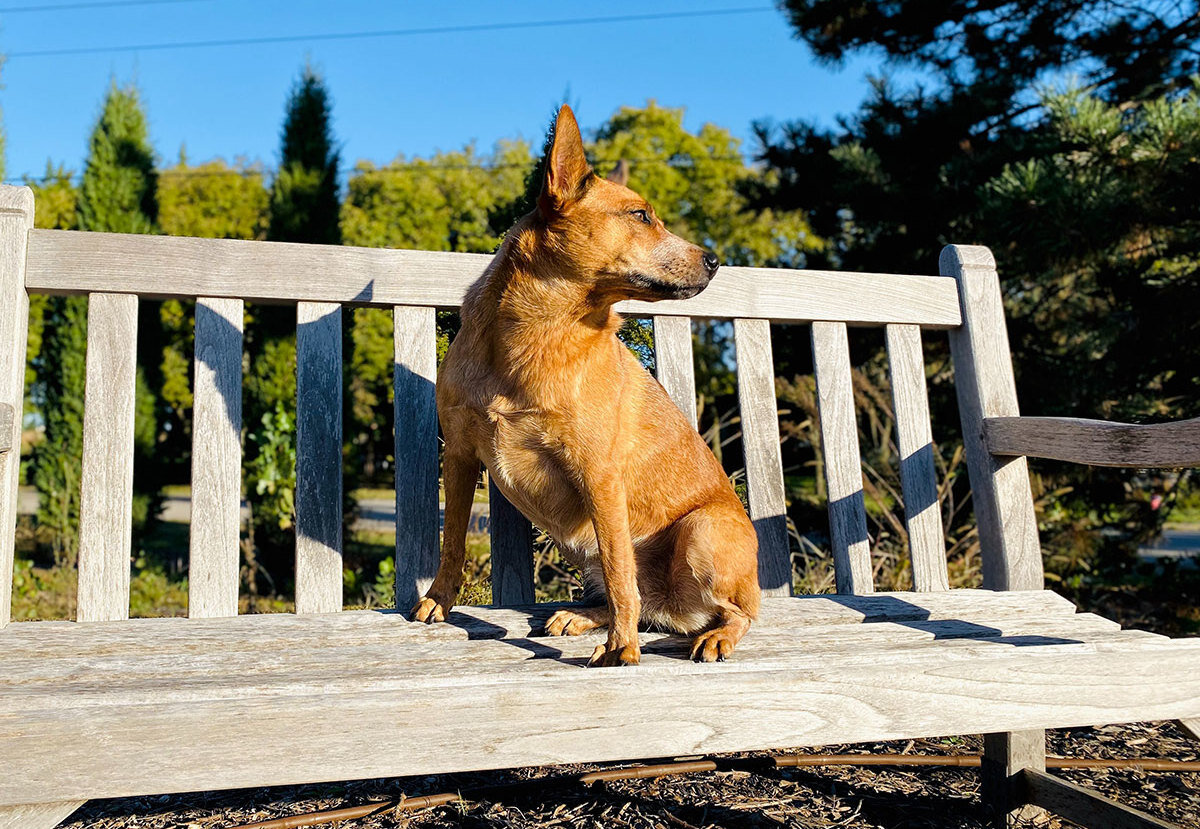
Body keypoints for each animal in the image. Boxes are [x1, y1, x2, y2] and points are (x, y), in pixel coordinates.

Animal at [412, 105, 758, 667]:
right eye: (641, 215)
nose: (714, 260)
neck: (539, 332)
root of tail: (679, 610)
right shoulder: (460, 455)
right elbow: (453, 539)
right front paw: (438, 600)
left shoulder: (599, 474)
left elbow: (620, 576)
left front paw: (621, 649)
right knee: (642, 598)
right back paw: (583, 617)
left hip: (700, 532)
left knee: (731, 611)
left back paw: (712, 635)